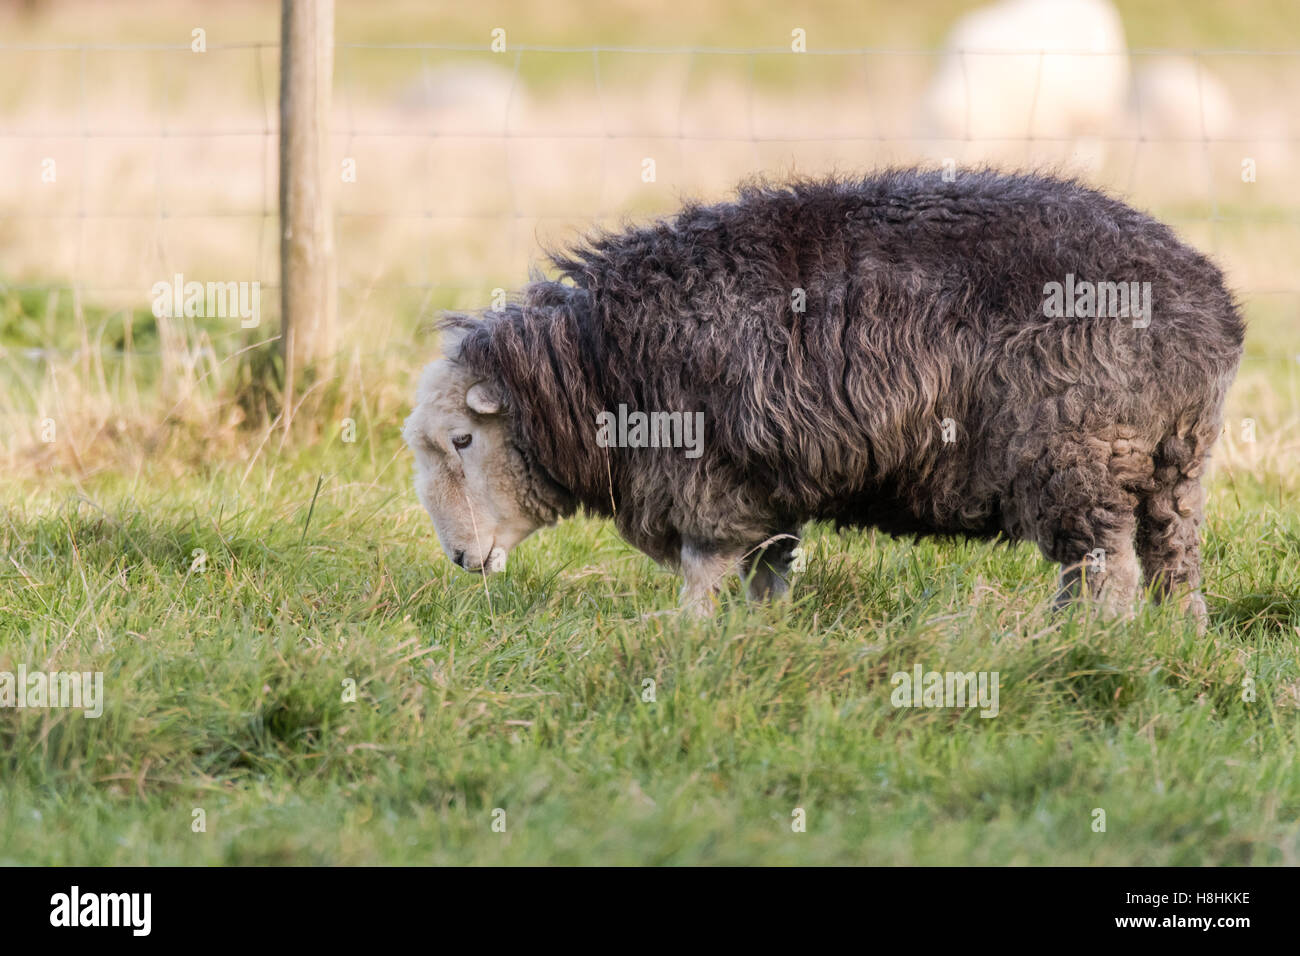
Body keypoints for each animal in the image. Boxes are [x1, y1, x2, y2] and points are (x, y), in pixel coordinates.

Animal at [403, 168, 1244, 621]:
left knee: (1107, 572)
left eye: (464, 440)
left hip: (1078, 450)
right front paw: (762, 633)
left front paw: (687, 635)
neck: (596, 366)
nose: (459, 559)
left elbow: (706, 568)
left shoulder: (709, 476)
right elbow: (768, 569)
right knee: (1173, 563)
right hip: (1172, 461)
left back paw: (1084, 646)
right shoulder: (767, 480)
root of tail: (1207, 302)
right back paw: (1179, 639)